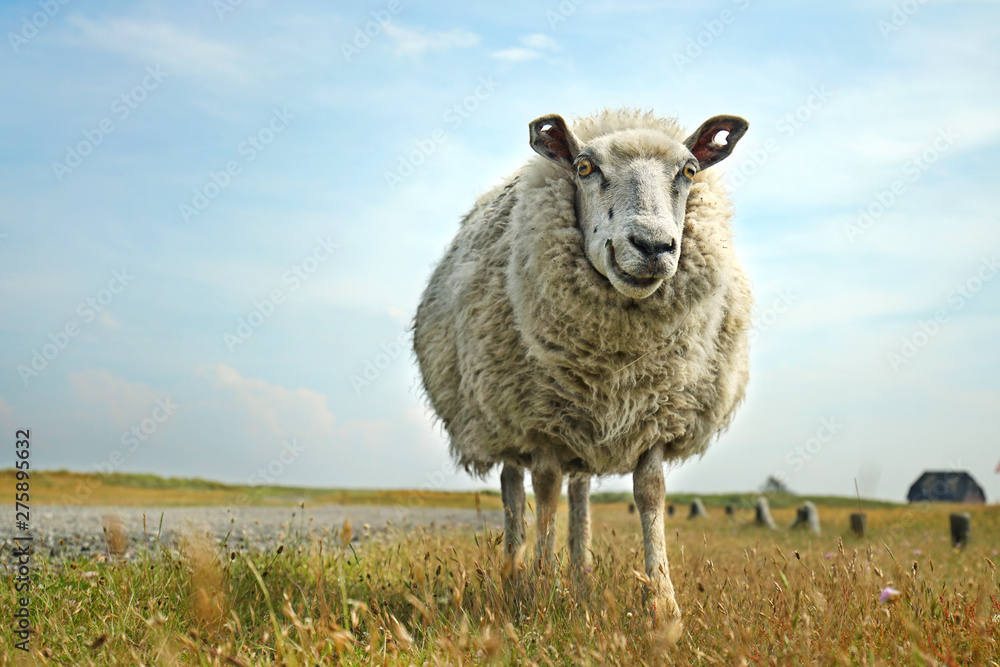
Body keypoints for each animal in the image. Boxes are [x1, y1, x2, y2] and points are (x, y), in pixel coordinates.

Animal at [413, 108, 752, 624]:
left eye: (689, 170)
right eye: (585, 168)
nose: (652, 246)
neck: (615, 357)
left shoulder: (656, 413)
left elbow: (649, 493)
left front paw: (663, 607)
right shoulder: (541, 421)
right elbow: (545, 490)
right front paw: (539, 589)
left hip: (583, 425)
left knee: (579, 490)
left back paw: (581, 578)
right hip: (501, 417)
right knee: (515, 489)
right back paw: (516, 575)